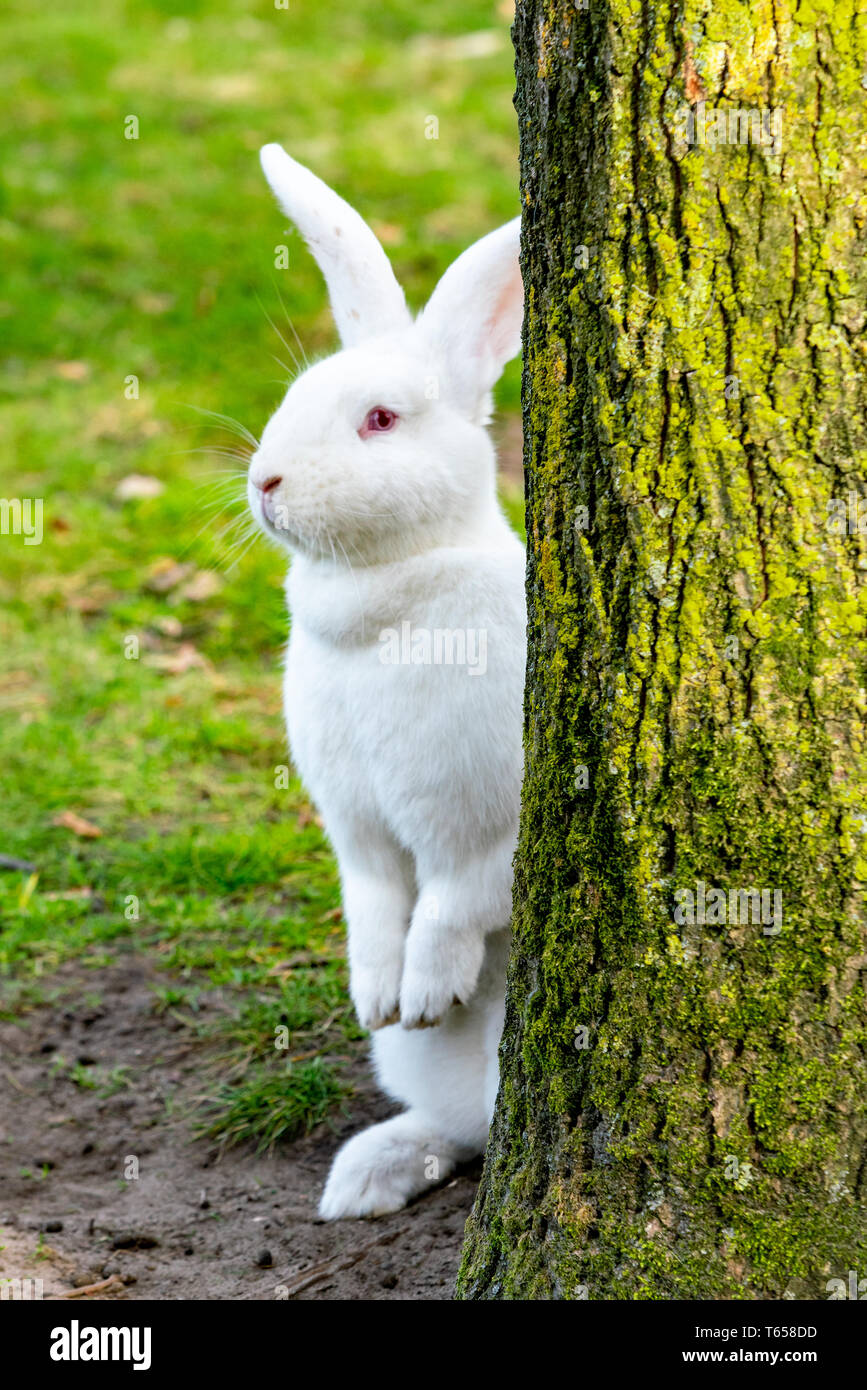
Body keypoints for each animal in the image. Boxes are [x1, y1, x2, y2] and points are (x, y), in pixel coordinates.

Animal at [246, 144, 526, 1218]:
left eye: (379, 420)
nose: (266, 483)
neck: (384, 598)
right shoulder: (356, 831)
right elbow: (372, 902)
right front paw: (376, 994)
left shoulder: (489, 828)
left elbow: (451, 903)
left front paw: (427, 992)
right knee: (462, 1131)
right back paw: (366, 1178)